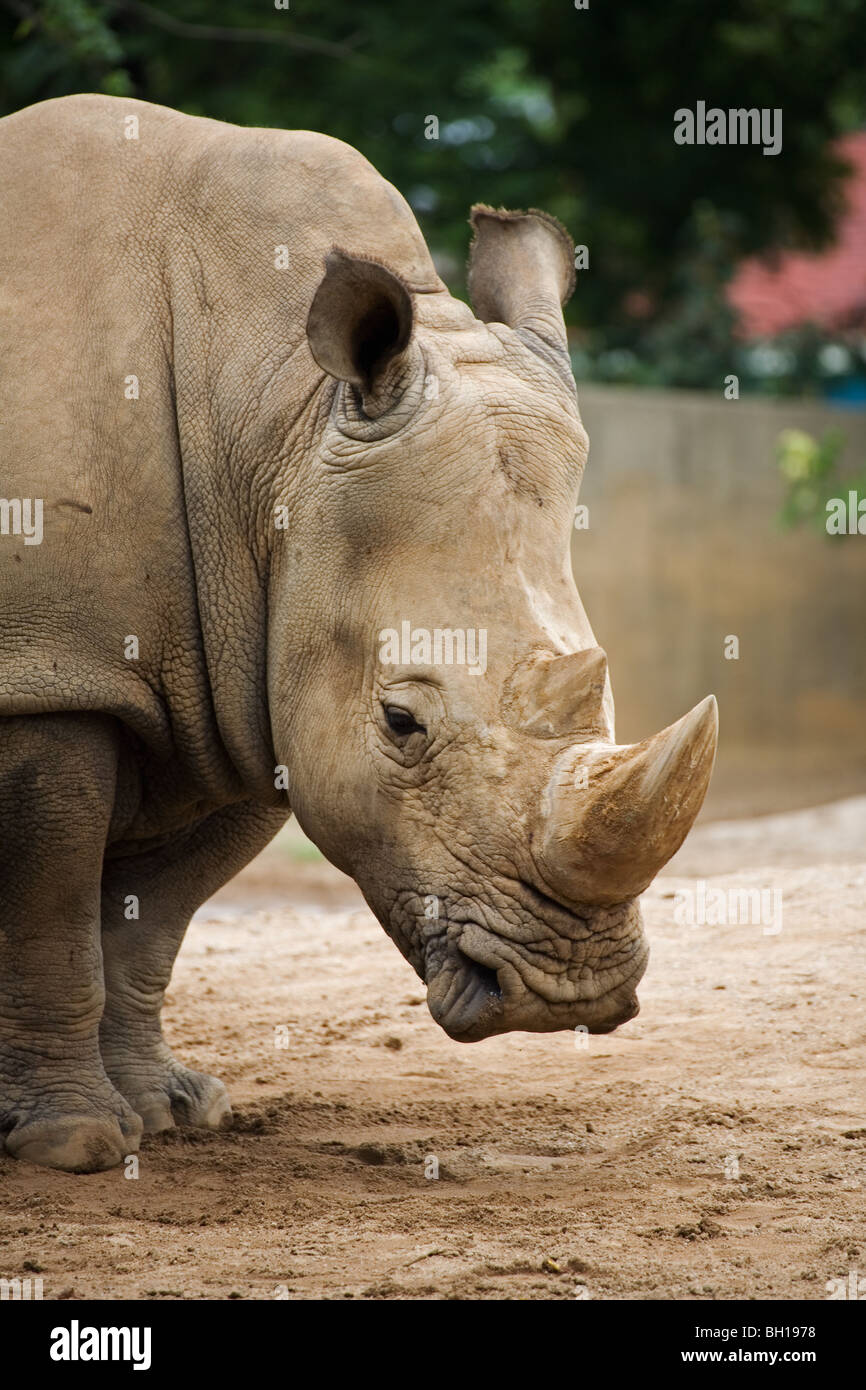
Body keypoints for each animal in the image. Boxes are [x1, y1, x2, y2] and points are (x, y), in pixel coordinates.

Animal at [0, 94, 717, 1172]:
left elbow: (150, 920)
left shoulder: (243, 672)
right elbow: (48, 911)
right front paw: (73, 1144)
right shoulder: (56, 670)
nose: (564, 993)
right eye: (400, 722)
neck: (272, 428)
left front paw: (173, 1112)